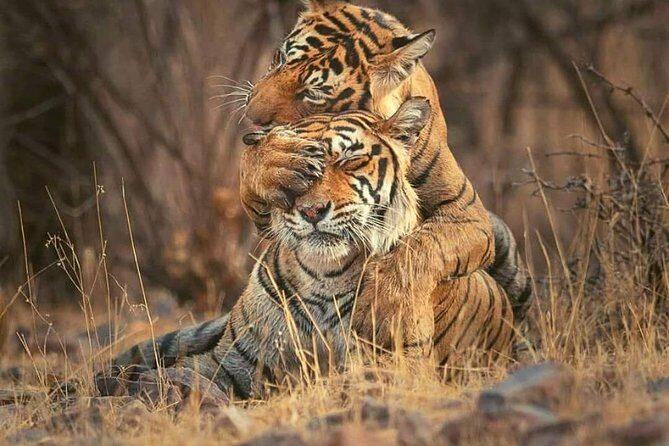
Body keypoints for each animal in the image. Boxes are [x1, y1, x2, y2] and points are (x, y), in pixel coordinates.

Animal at [99, 100, 514, 399]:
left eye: (351, 159)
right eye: (298, 169)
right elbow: (181, 376)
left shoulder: (400, 365)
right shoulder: (230, 360)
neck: (324, 274)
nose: (312, 210)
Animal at [238, 0, 532, 350]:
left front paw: (388, 308)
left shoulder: (470, 217)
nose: (250, 117)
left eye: (314, 93)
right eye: (281, 58)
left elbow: (420, 247)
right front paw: (278, 158)